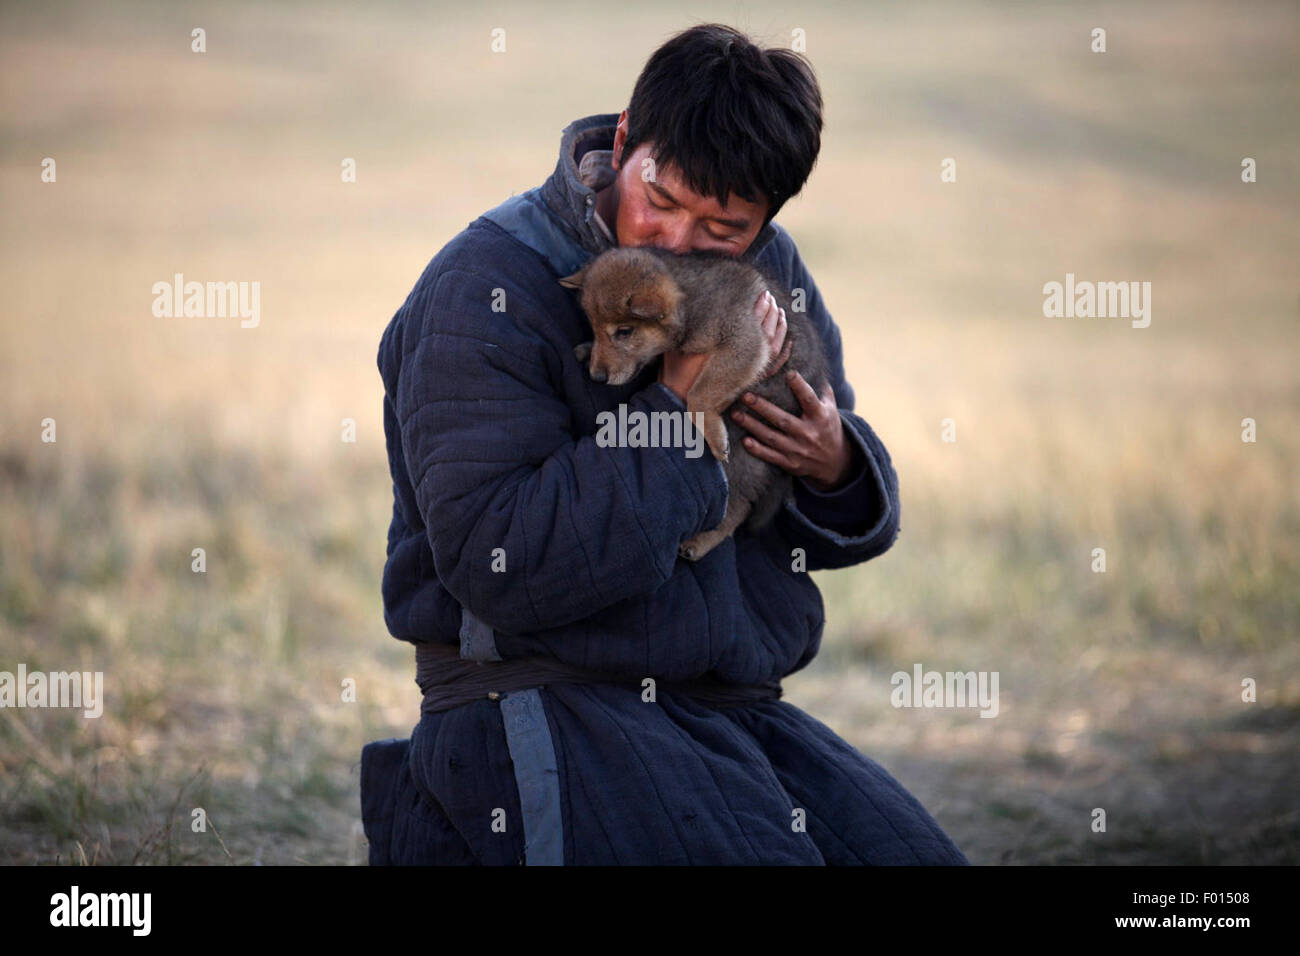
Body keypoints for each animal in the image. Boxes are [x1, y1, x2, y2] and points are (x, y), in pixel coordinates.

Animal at [561, 246, 829, 561]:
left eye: (624, 331)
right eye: (594, 327)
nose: (597, 376)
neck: (690, 305)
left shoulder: (743, 340)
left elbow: (699, 395)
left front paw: (712, 432)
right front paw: (586, 349)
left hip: (742, 461)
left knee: (737, 508)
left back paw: (700, 542)